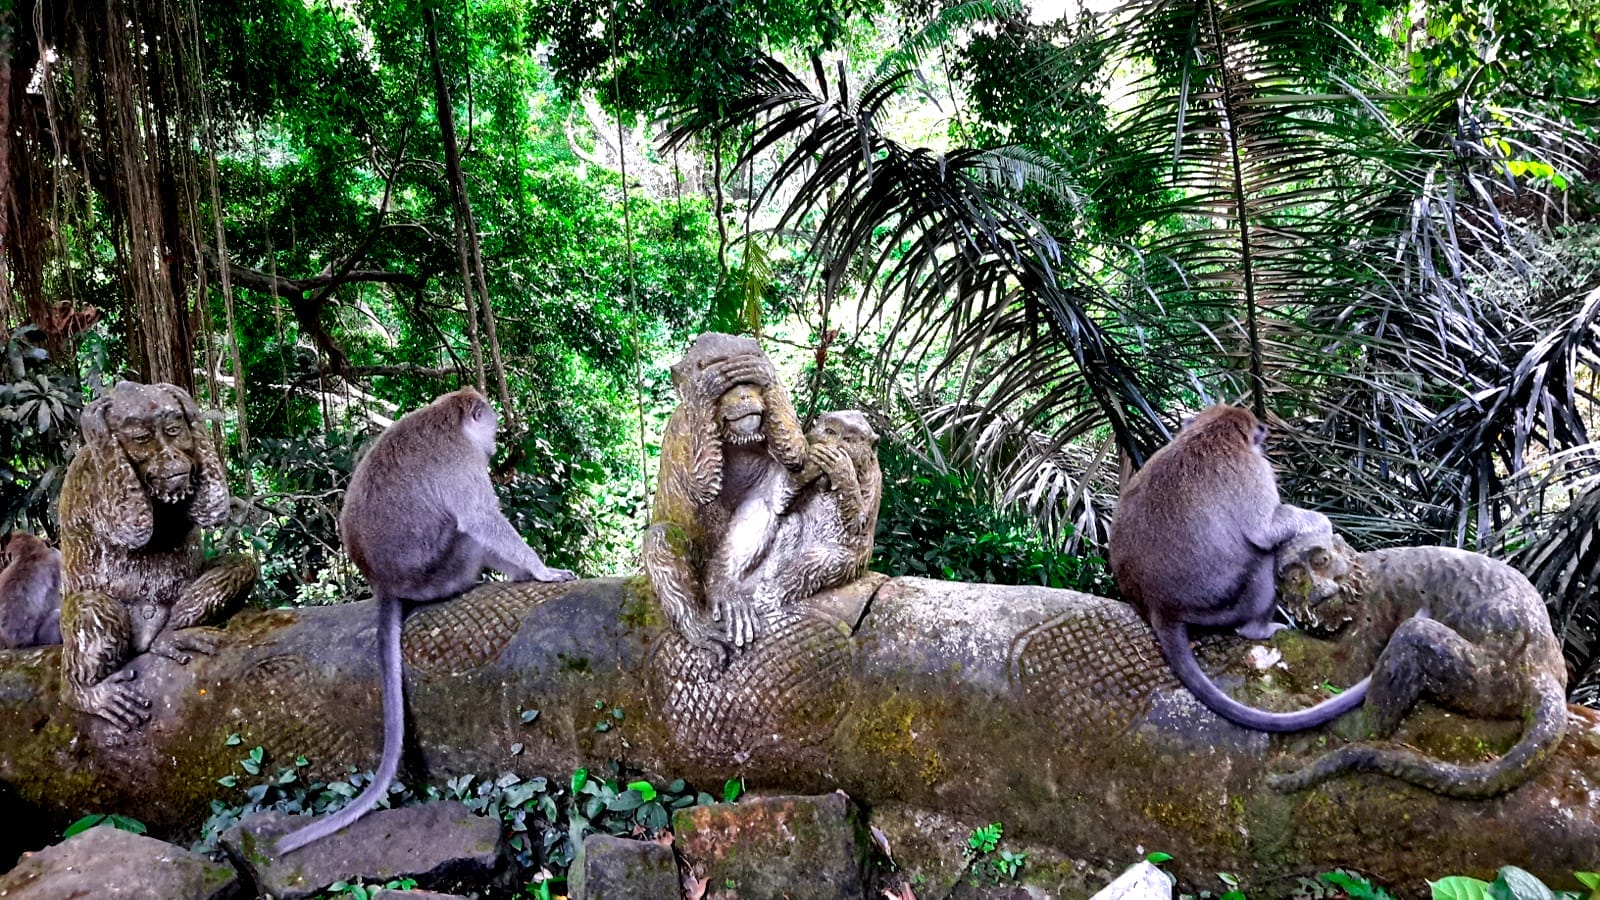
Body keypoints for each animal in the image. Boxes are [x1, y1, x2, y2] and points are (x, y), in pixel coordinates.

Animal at [276, 387, 576, 855]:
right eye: (489, 423)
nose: (494, 443)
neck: (447, 420)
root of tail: (381, 582)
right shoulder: (463, 461)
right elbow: (480, 518)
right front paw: (542, 571)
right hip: (443, 570)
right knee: (469, 533)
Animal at [1109, 404, 1366, 732]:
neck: (1211, 431)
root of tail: (1158, 606)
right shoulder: (1256, 469)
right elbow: (1264, 531)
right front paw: (1320, 521)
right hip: (1219, 606)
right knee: (1263, 559)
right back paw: (1256, 628)